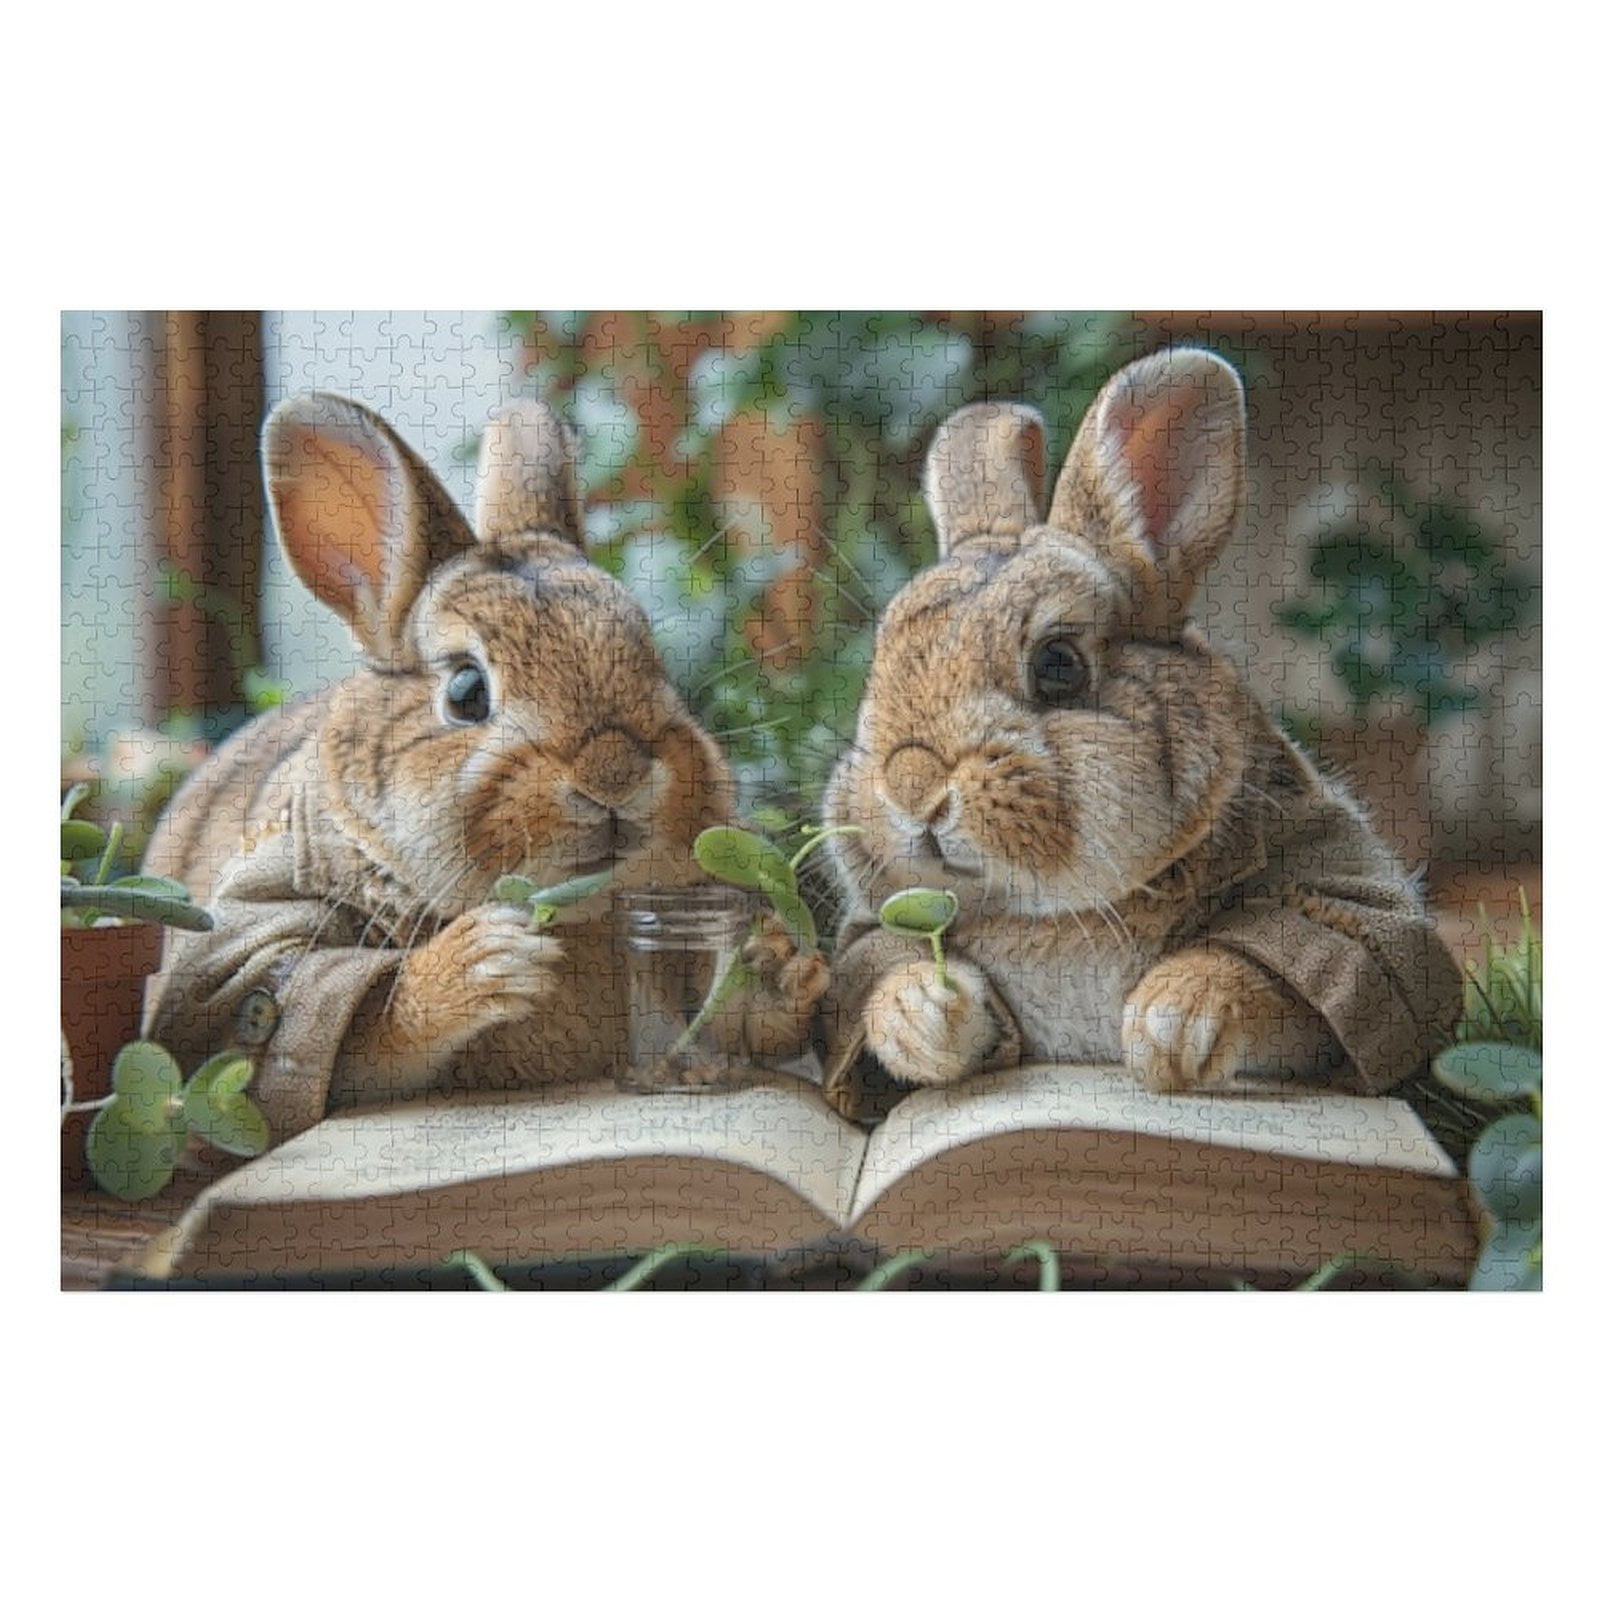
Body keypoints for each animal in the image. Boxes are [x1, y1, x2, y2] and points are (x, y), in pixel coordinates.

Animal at [142, 393, 823, 1143]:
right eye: (467, 691)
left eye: (656, 664)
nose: (614, 776)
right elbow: (354, 1024)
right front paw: (484, 960)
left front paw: (783, 962)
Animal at [819, 348, 1461, 1121]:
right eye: (877, 664)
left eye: (1058, 666)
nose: (912, 788)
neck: (1053, 917)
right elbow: (883, 965)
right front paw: (922, 1013)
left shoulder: (1344, 903)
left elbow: (1288, 963)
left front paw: (1175, 1024)